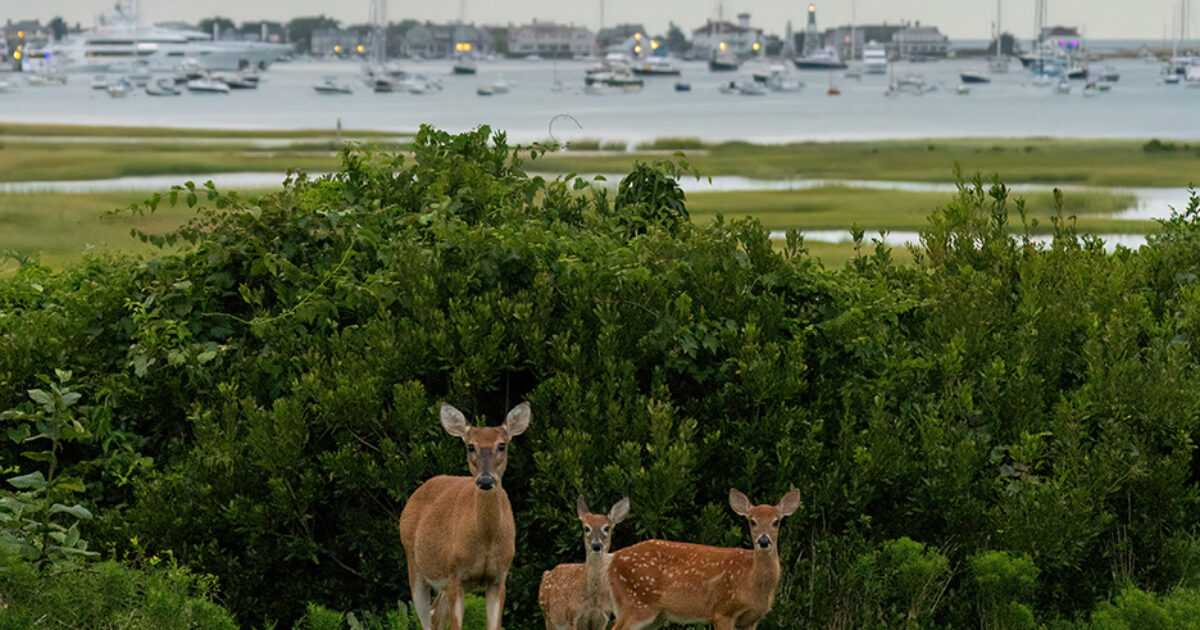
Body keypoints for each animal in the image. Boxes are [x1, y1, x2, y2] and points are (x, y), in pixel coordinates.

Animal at [399, 402, 531, 630]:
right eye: (470, 446)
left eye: (502, 445)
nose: (485, 480)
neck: (486, 541)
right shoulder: (455, 574)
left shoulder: (499, 578)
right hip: (415, 566)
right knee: (426, 619)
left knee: (435, 615)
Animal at [539, 495, 631, 630]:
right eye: (586, 528)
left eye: (607, 528)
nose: (596, 545)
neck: (592, 602)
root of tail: (547, 573)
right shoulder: (572, 618)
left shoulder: (602, 618)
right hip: (548, 617)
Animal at [606, 488, 802, 630]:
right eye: (752, 521)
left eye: (776, 521)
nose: (763, 541)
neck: (750, 581)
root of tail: (613, 559)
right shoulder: (723, 610)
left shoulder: (751, 619)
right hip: (636, 602)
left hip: (656, 616)